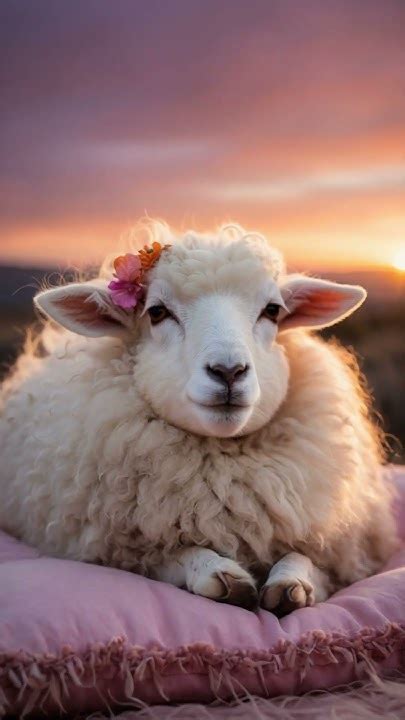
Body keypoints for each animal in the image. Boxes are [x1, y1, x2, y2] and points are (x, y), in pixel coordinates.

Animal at [0, 222, 398, 614]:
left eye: (272, 310)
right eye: (156, 312)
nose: (228, 371)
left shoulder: (345, 555)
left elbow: (307, 559)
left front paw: (292, 583)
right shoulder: (117, 552)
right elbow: (173, 556)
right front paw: (218, 574)